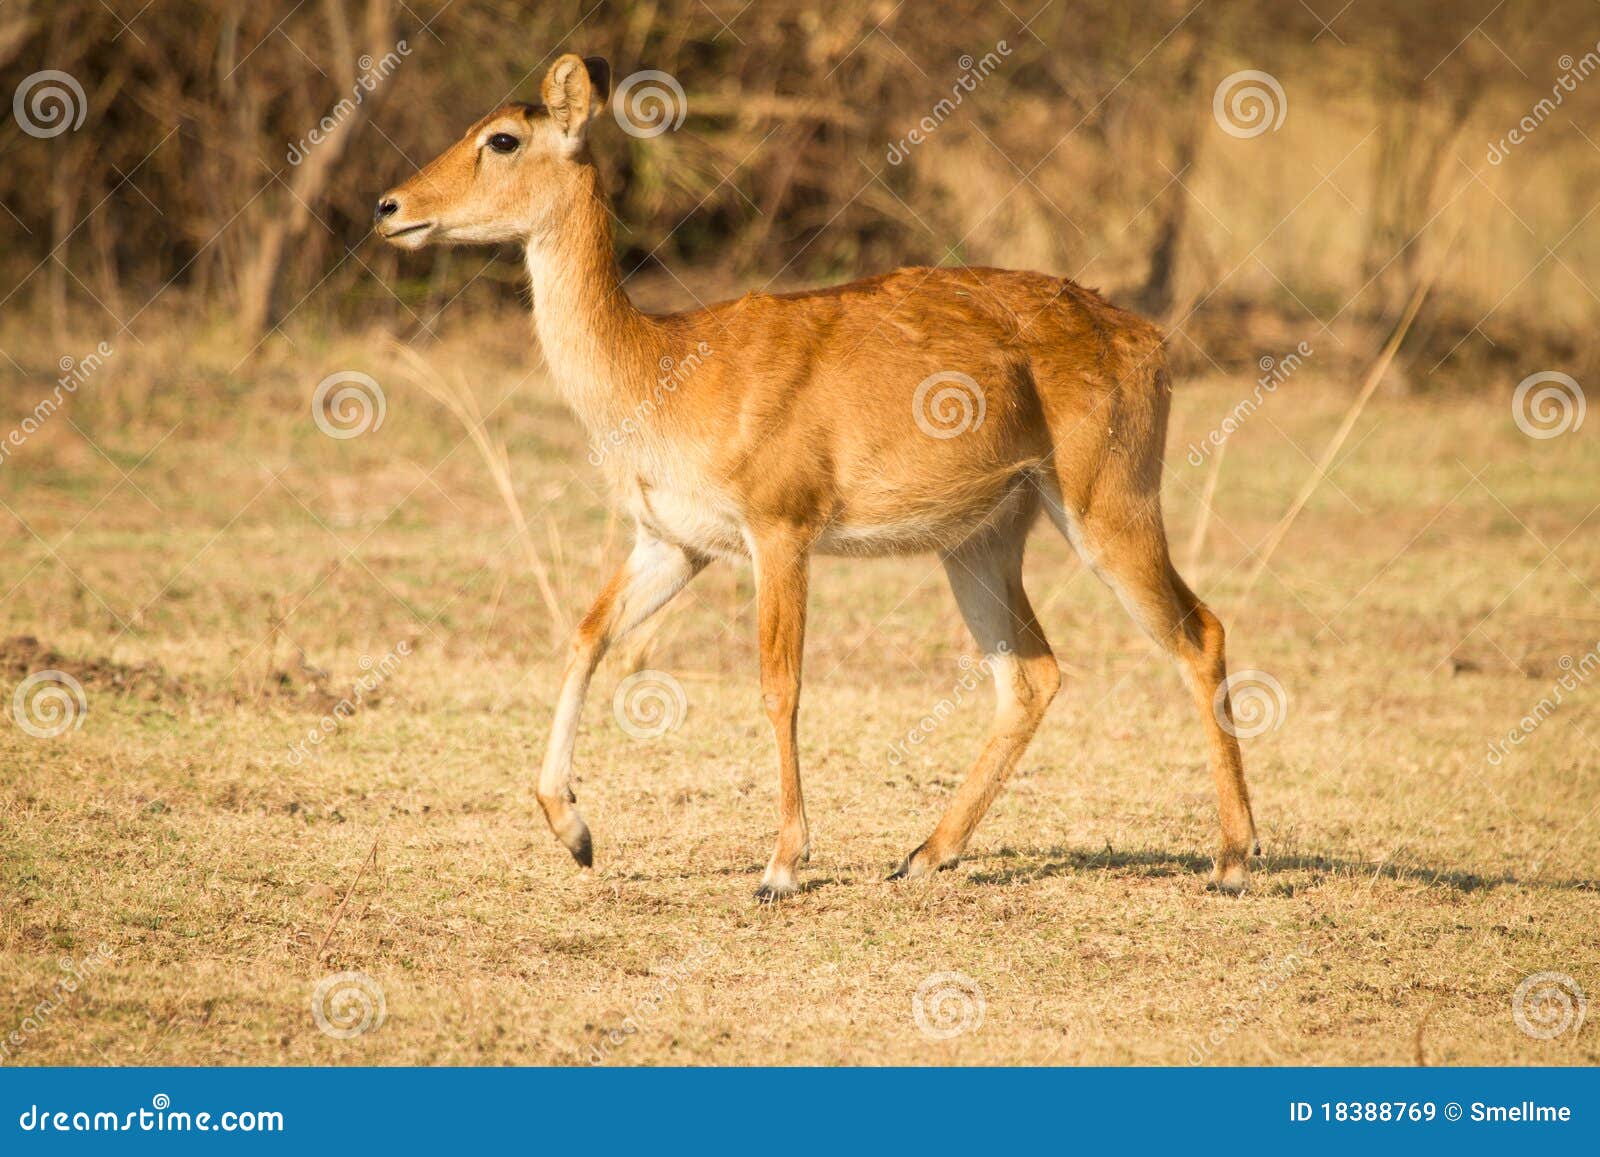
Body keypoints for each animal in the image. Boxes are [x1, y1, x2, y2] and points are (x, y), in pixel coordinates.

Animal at [376, 54, 1258, 900]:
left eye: (502, 139)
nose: (389, 207)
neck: (660, 365)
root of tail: (1146, 335)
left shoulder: (780, 533)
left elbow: (779, 684)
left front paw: (781, 867)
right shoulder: (673, 543)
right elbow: (588, 634)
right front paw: (575, 832)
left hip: (1107, 512)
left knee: (1200, 632)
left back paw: (1232, 860)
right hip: (981, 541)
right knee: (1032, 675)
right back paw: (923, 855)